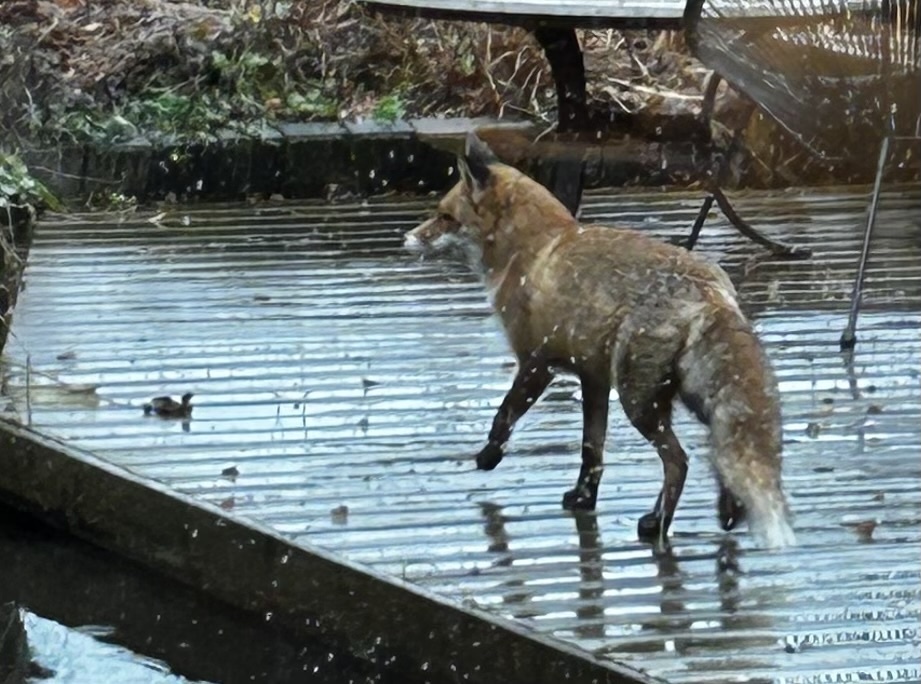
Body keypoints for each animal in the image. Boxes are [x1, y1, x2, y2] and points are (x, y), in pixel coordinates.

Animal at [404, 132, 796, 549]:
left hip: (638, 401)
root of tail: (711, 291)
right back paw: (724, 511)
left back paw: (660, 524)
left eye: (445, 216)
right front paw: (583, 497)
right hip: (687, 396)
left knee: (680, 460)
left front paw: (489, 457)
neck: (532, 252)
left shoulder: (537, 363)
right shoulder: (592, 377)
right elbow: (592, 450)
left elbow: (504, 416)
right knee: (717, 451)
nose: (406, 238)